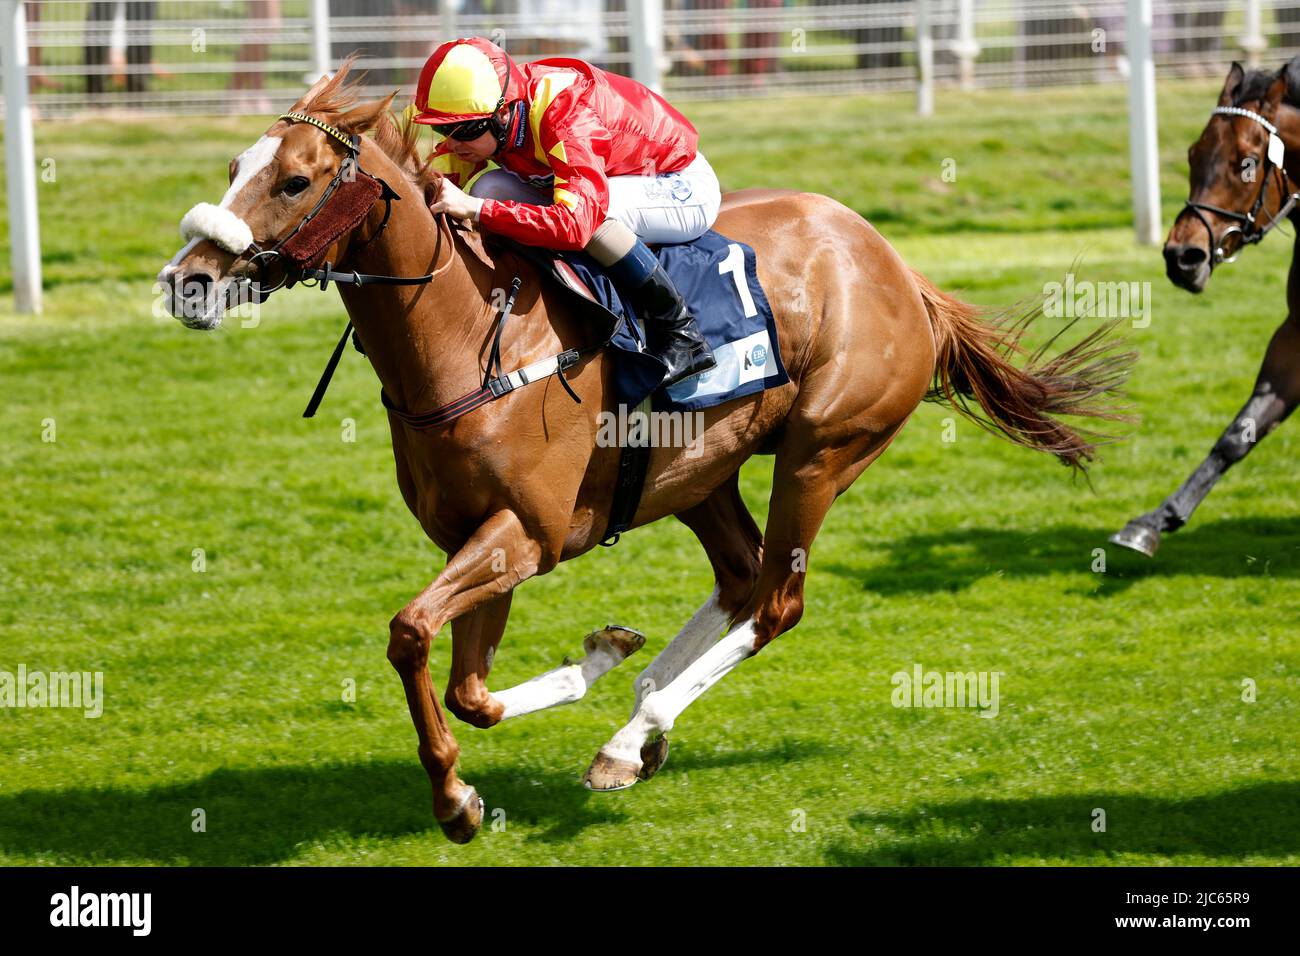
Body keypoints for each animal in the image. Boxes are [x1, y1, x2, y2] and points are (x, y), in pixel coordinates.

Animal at [158, 62, 1132, 844]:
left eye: (294, 180)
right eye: (234, 169)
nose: (187, 282)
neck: (472, 336)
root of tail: (894, 265)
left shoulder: (527, 534)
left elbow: (410, 634)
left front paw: (456, 801)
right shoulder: (480, 539)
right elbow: (469, 689)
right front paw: (585, 672)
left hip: (821, 453)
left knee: (777, 603)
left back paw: (639, 728)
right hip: (700, 472)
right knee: (740, 578)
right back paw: (637, 726)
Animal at [1113, 60, 1300, 557]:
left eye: (1248, 163)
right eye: (1194, 153)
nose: (1183, 257)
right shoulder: (1294, 335)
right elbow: (1239, 434)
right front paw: (1153, 521)